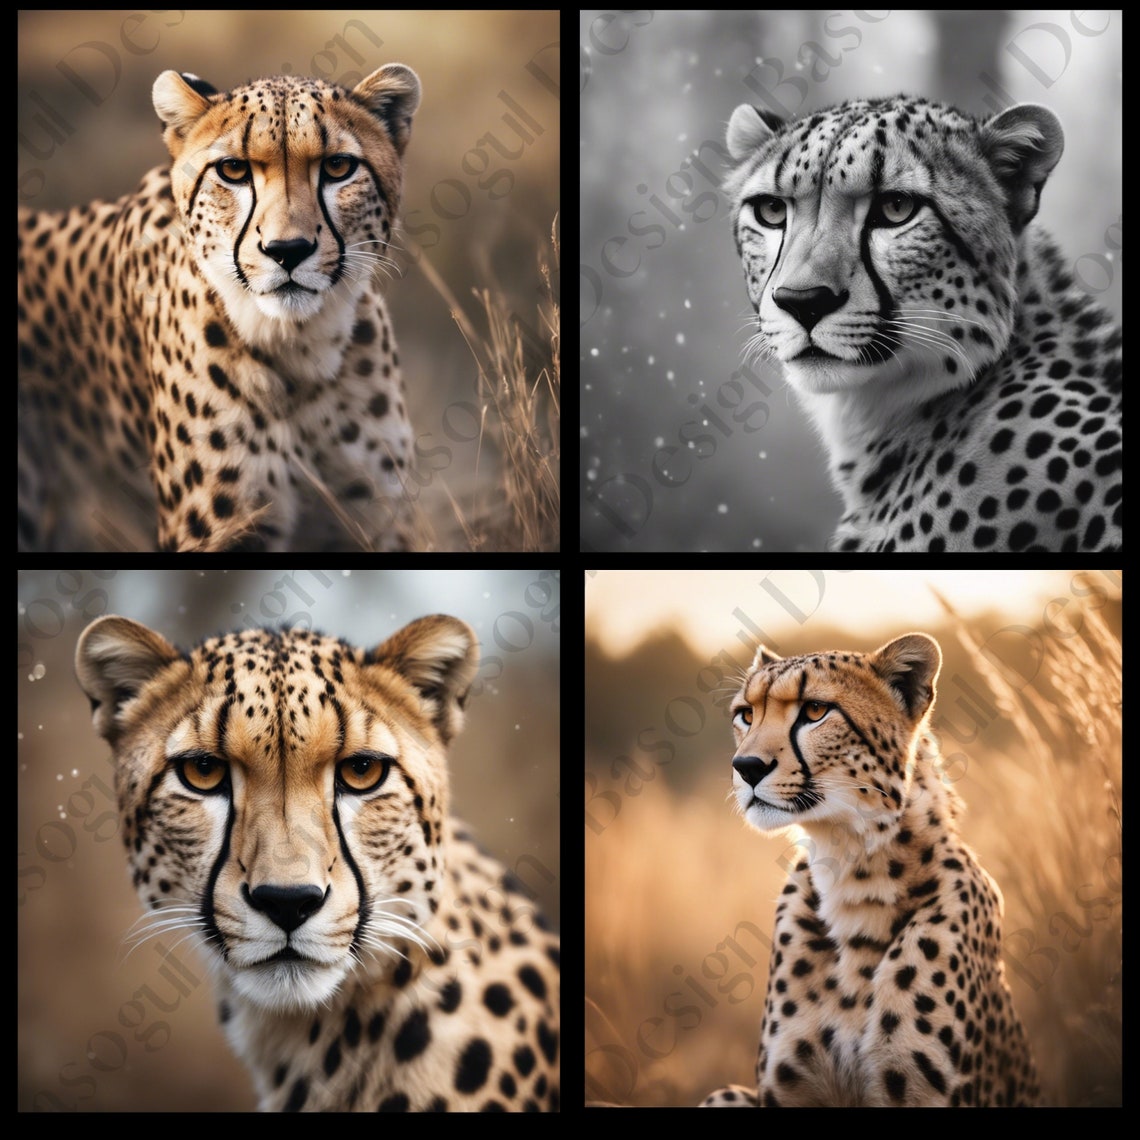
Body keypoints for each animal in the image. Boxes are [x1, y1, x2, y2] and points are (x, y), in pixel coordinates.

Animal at [19, 65, 422, 552]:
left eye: (338, 167)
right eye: (233, 170)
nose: (287, 251)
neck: (299, 353)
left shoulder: (377, 518)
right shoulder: (223, 533)